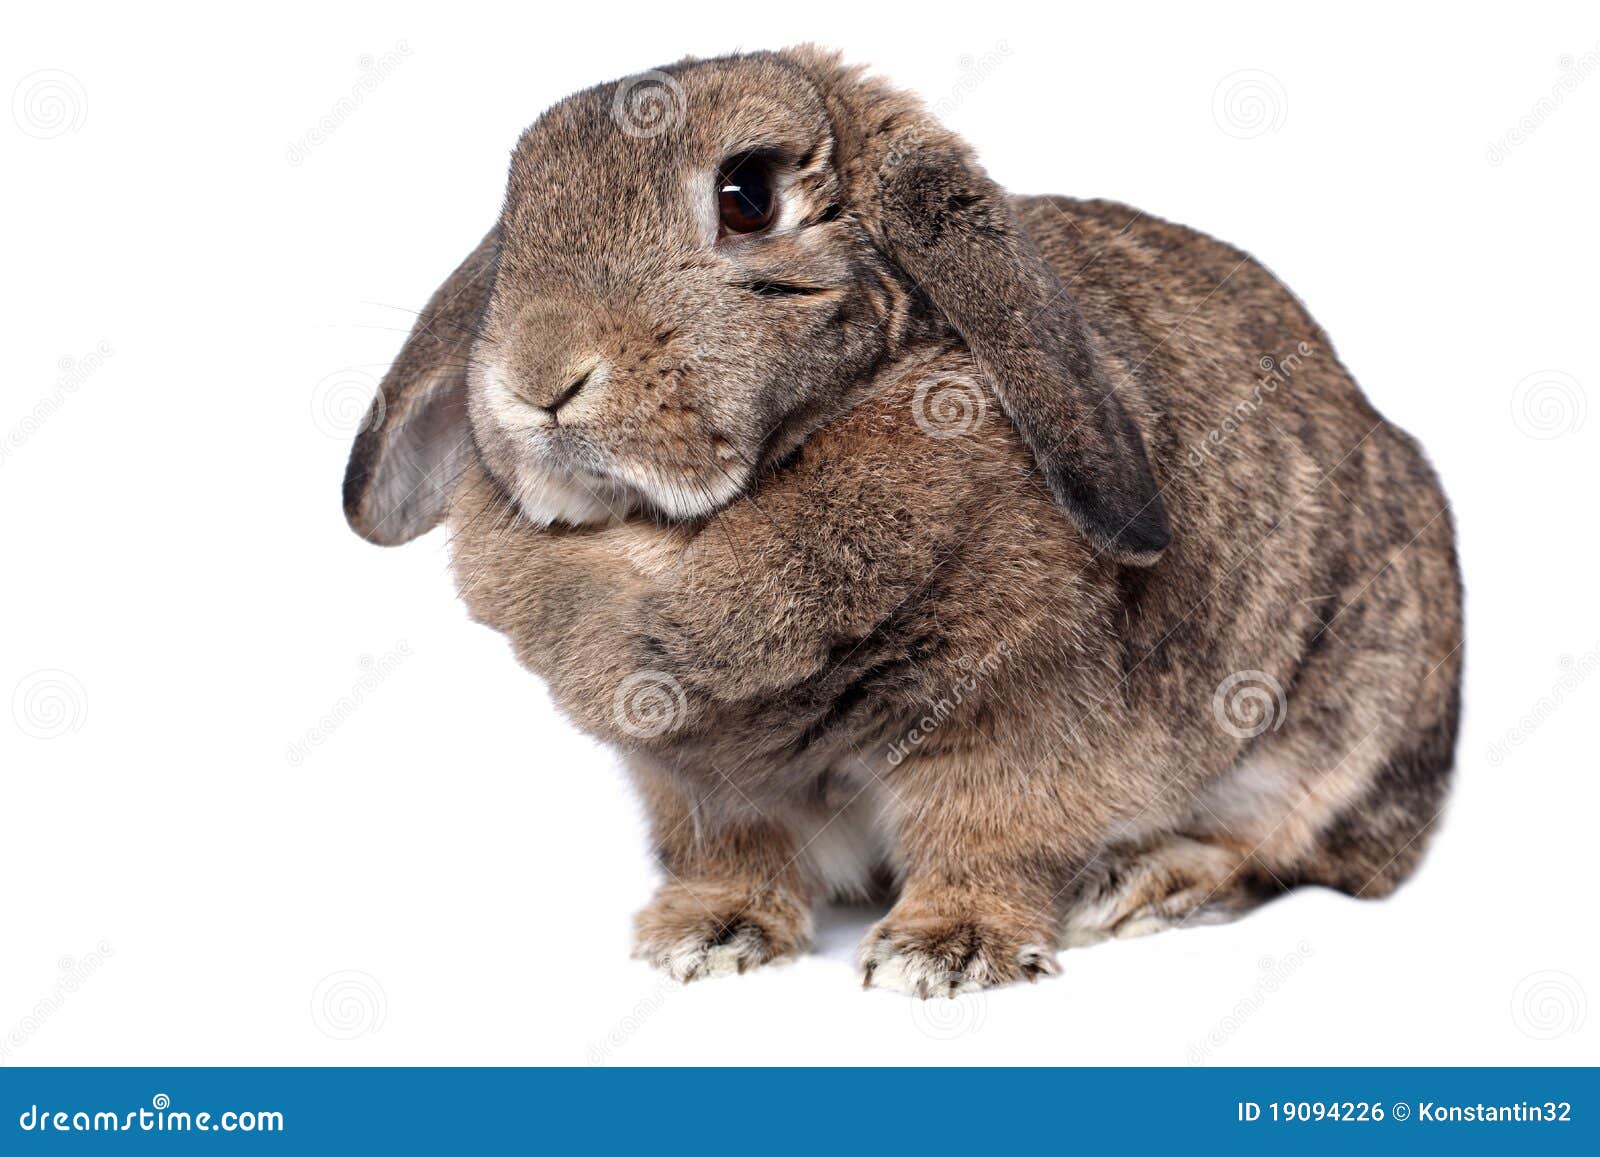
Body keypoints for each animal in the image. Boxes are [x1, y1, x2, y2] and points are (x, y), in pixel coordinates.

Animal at [341, 47, 1462, 995]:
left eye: (746, 196)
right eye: (515, 216)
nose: (536, 379)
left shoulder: (1015, 712)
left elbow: (987, 831)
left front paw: (947, 950)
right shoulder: (694, 779)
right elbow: (731, 849)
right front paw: (705, 934)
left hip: (1338, 727)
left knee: (1283, 848)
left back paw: (1149, 882)